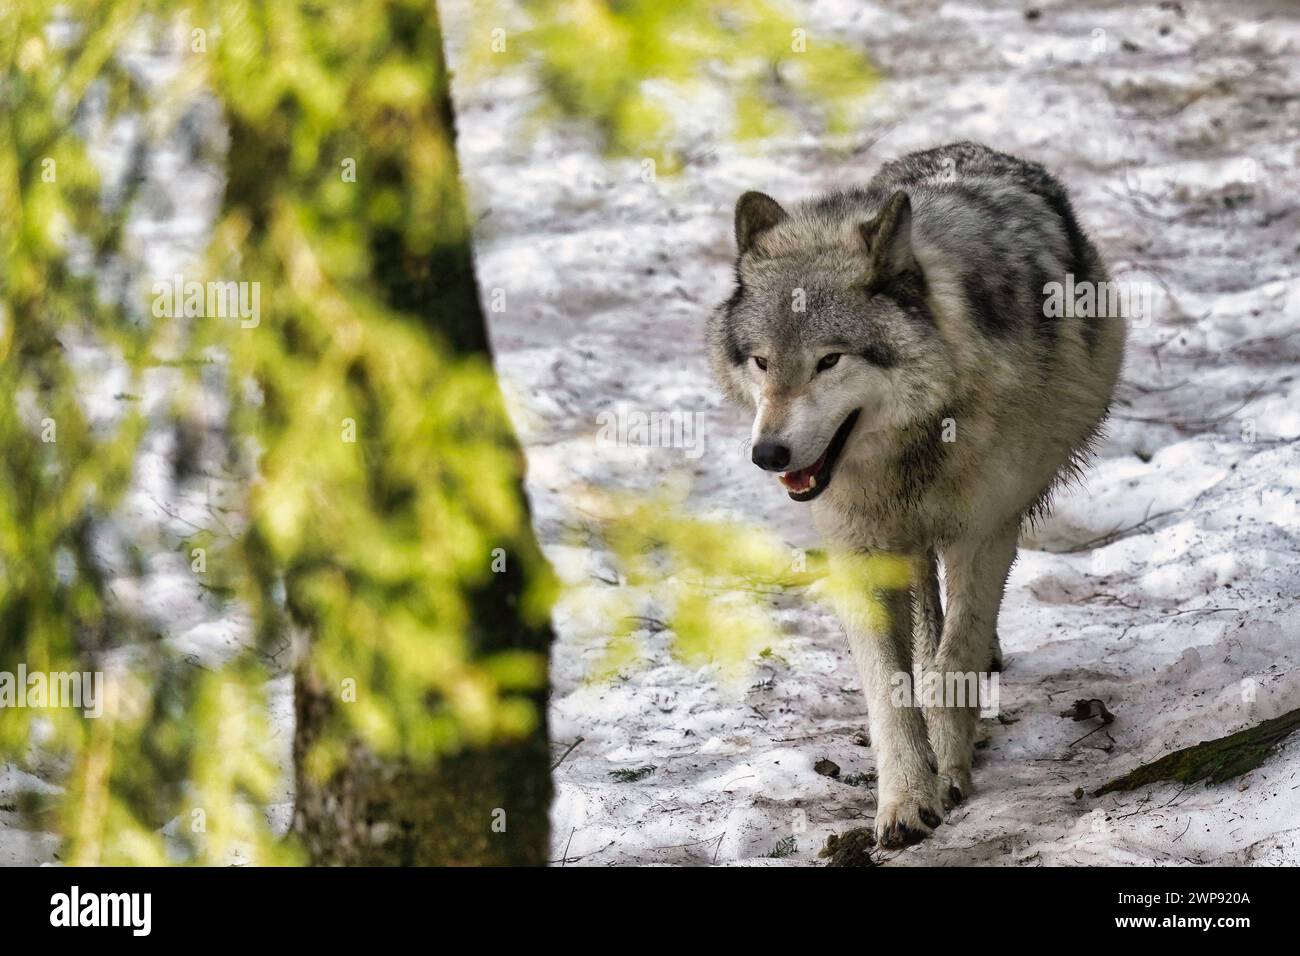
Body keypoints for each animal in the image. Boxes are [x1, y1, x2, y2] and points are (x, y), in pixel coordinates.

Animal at [707, 142, 1125, 848]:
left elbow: (953, 658)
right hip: (911, 543)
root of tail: (960, 148)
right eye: (762, 362)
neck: (911, 446)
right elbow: (888, 689)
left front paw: (951, 768)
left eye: (830, 361)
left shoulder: (983, 532)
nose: (769, 454)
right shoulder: (863, 551)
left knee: (959, 631)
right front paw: (905, 799)